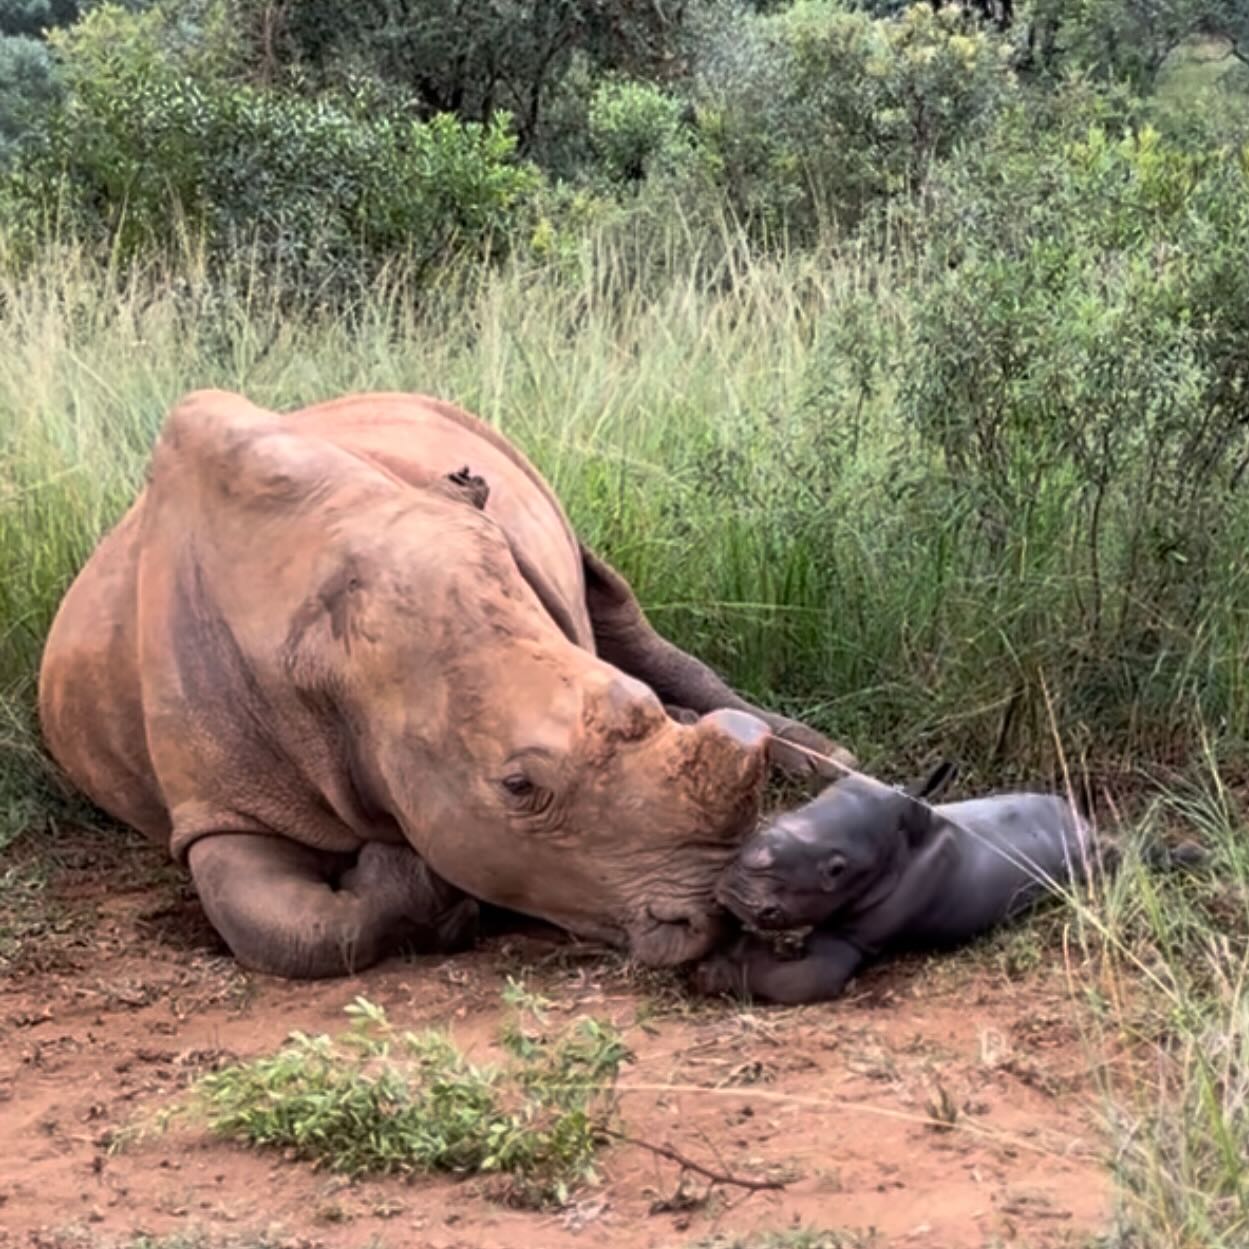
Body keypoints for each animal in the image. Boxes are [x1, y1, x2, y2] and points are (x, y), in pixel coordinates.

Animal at [38, 389, 854, 979]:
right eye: (519, 786)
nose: (710, 910)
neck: (324, 661)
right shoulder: (219, 808)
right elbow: (288, 930)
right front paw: (416, 881)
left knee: (617, 605)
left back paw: (829, 762)